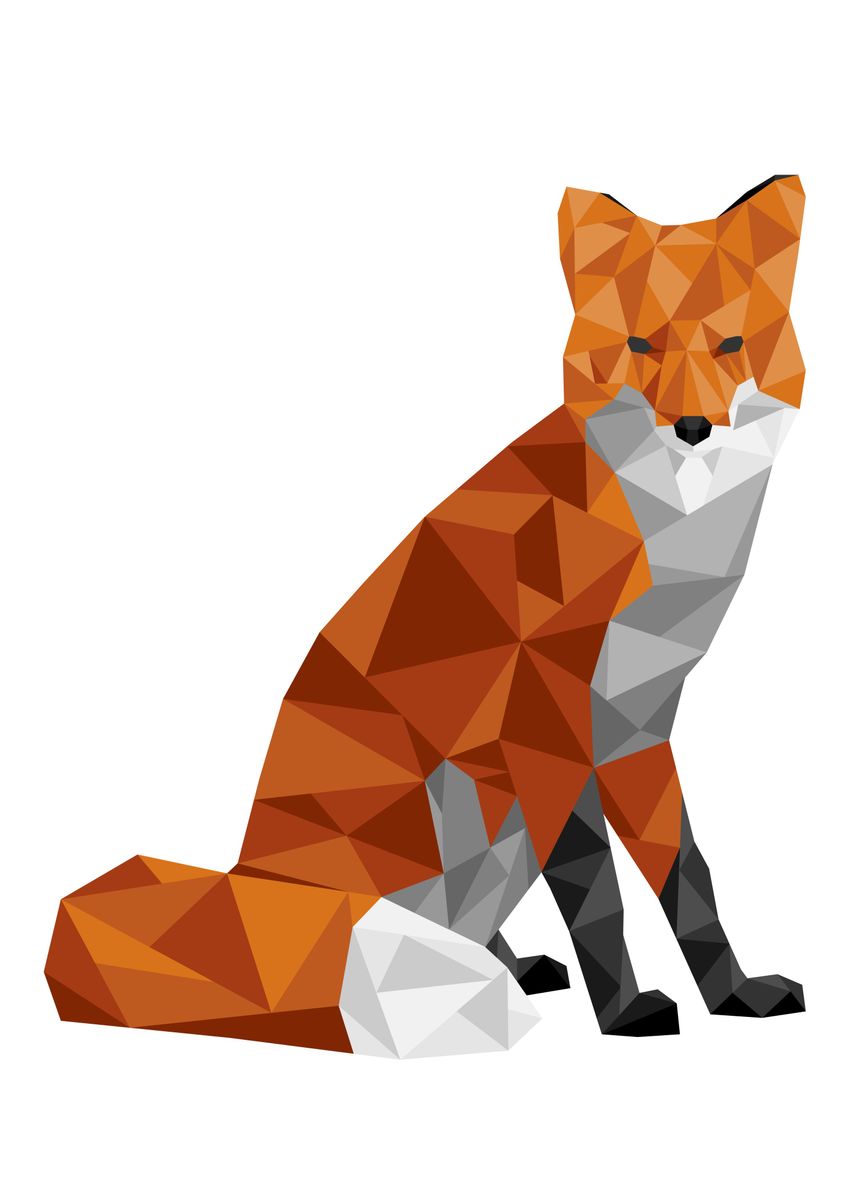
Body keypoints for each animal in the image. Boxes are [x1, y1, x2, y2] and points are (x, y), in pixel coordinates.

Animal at [46, 175, 807, 1055]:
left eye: (730, 346)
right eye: (640, 346)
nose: (691, 429)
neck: (661, 534)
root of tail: (249, 879)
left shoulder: (636, 729)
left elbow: (687, 878)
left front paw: (735, 995)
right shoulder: (546, 730)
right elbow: (598, 894)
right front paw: (625, 1014)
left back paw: (504, 970)